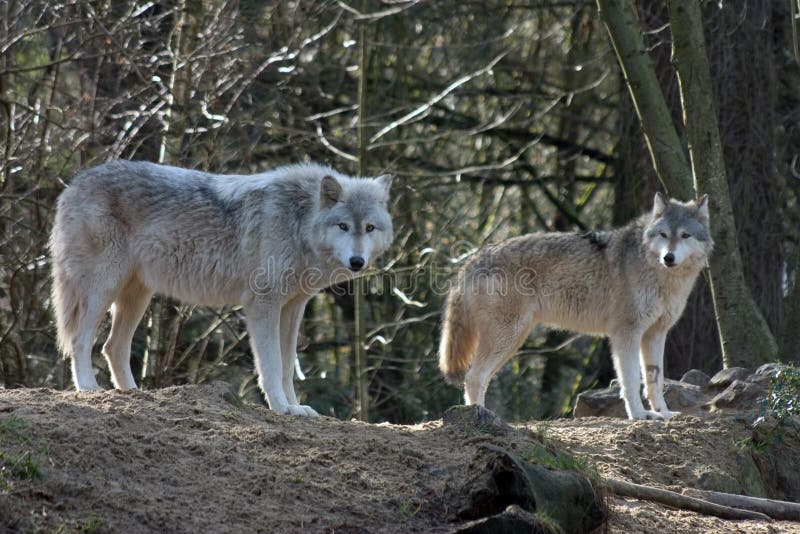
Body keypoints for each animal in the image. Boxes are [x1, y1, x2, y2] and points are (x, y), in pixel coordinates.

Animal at [50, 161, 394, 420]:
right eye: (343, 226)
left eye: (369, 228)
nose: (357, 261)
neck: (299, 221)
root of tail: (73, 183)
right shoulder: (262, 305)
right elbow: (271, 365)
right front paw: (280, 407)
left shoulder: (293, 308)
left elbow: (287, 366)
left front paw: (295, 407)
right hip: (102, 289)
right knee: (80, 340)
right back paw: (89, 388)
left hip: (137, 297)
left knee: (112, 347)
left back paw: (133, 393)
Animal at [438, 195, 712, 420]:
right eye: (664, 235)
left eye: (685, 235)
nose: (669, 258)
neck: (660, 274)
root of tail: (471, 260)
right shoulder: (626, 333)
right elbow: (632, 380)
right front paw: (638, 415)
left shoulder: (655, 334)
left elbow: (655, 379)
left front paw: (662, 413)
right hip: (506, 338)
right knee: (473, 377)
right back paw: (480, 415)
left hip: (512, 342)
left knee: (480, 378)